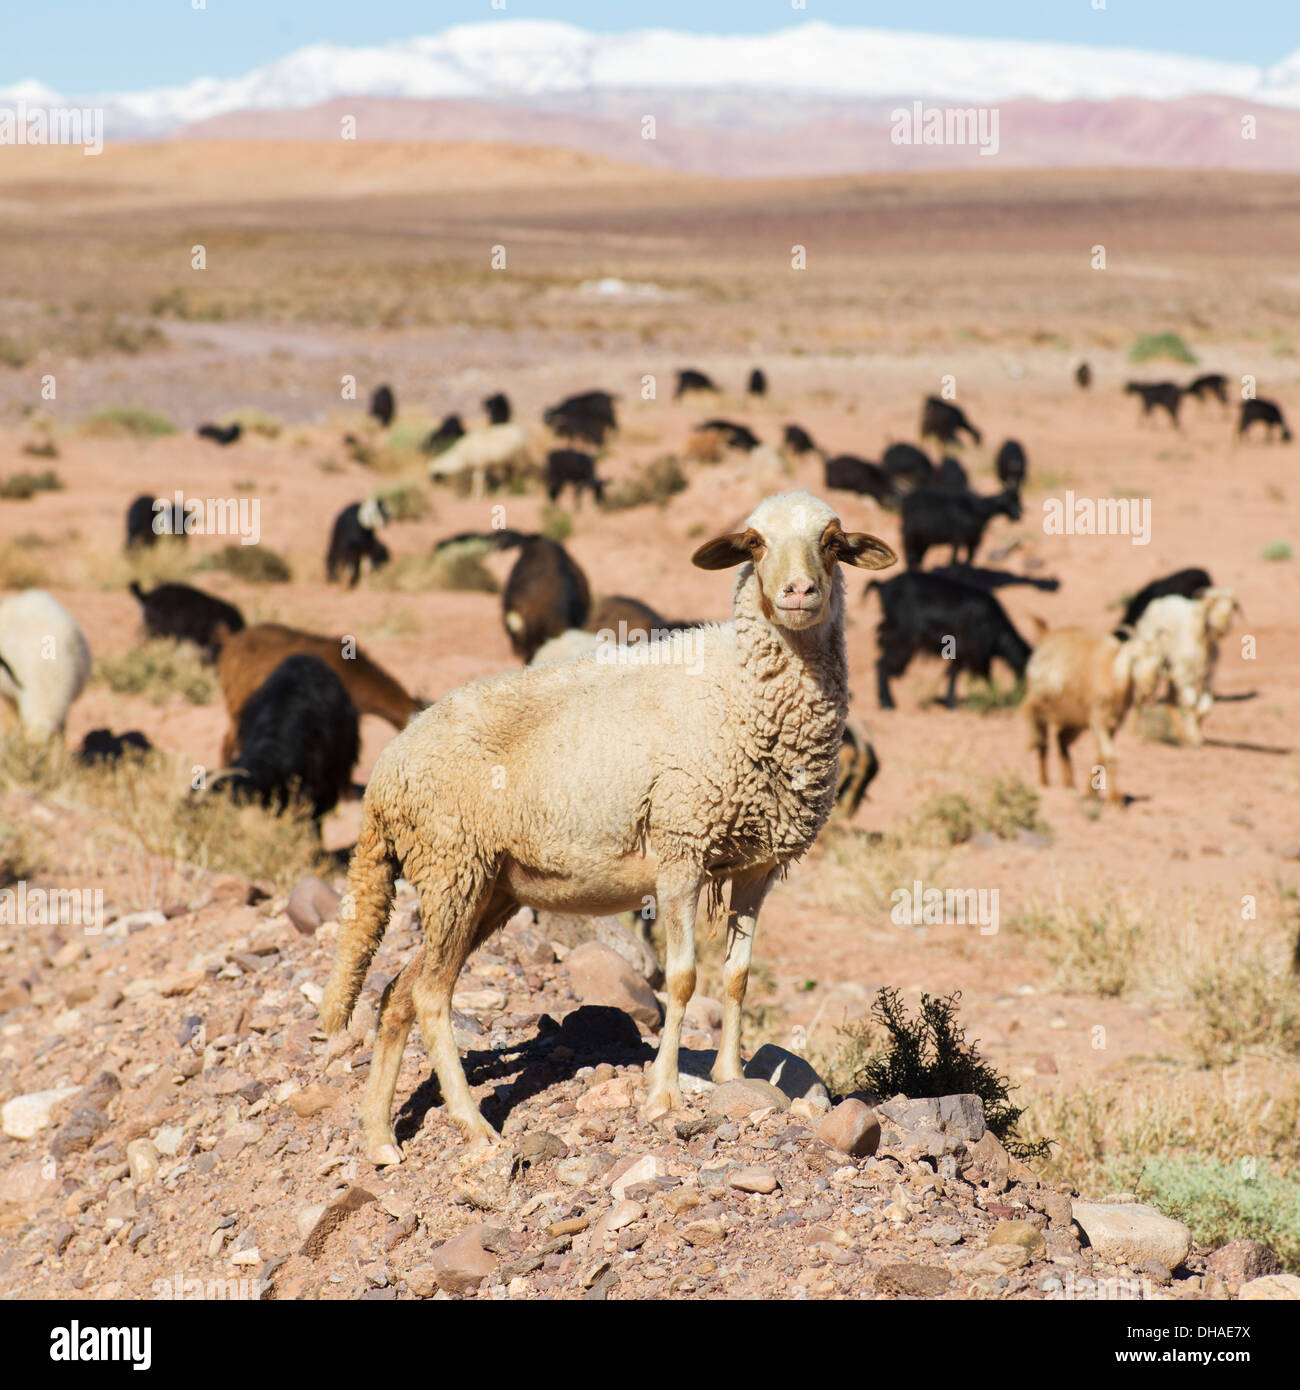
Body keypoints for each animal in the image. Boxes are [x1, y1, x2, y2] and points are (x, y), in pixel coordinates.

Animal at [318, 490, 896, 1160]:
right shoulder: (680, 846)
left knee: (397, 994)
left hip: (481, 887)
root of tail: (385, 776)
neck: (736, 689)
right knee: (431, 995)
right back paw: (471, 1122)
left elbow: (736, 977)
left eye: (832, 544)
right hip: (453, 864)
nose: (799, 591)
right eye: (754, 545)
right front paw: (663, 1094)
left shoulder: (758, 865)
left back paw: (380, 1138)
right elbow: (681, 981)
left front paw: (731, 1075)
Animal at [866, 570, 1031, 710]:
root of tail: (883, 586)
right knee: (883, 664)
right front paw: (954, 702)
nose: (1024, 694)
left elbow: (961, 671)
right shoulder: (969, 649)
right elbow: (967, 673)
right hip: (902, 640)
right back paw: (887, 703)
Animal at [1023, 626, 1164, 805]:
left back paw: (1070, 786)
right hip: (1040, 707)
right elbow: (1109, 756)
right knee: (1042, 741)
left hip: (1075, 719)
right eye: (1134, 659)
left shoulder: (1111, 724)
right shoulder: (1098, 721)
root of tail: (1045, 638)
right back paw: (1044, 783)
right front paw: (1115, 801)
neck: (1112, 672)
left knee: (1061, 739)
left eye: (1160, 662)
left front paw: (1091, 794)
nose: (1150, 685)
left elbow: (1101, 756)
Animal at [1133, 588, 1238, 745]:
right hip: (1152, 666)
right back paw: (1133, 732)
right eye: (1210, 604)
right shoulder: (1183, 675)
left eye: (1231, 607)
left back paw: (1181, 735)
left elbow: (1205, 707)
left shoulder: (1209, 675)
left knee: (1170, 700)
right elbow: (1191, 703)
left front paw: (1195, 734)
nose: (1222, 626)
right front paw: (1193, 735)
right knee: (1142, 690)